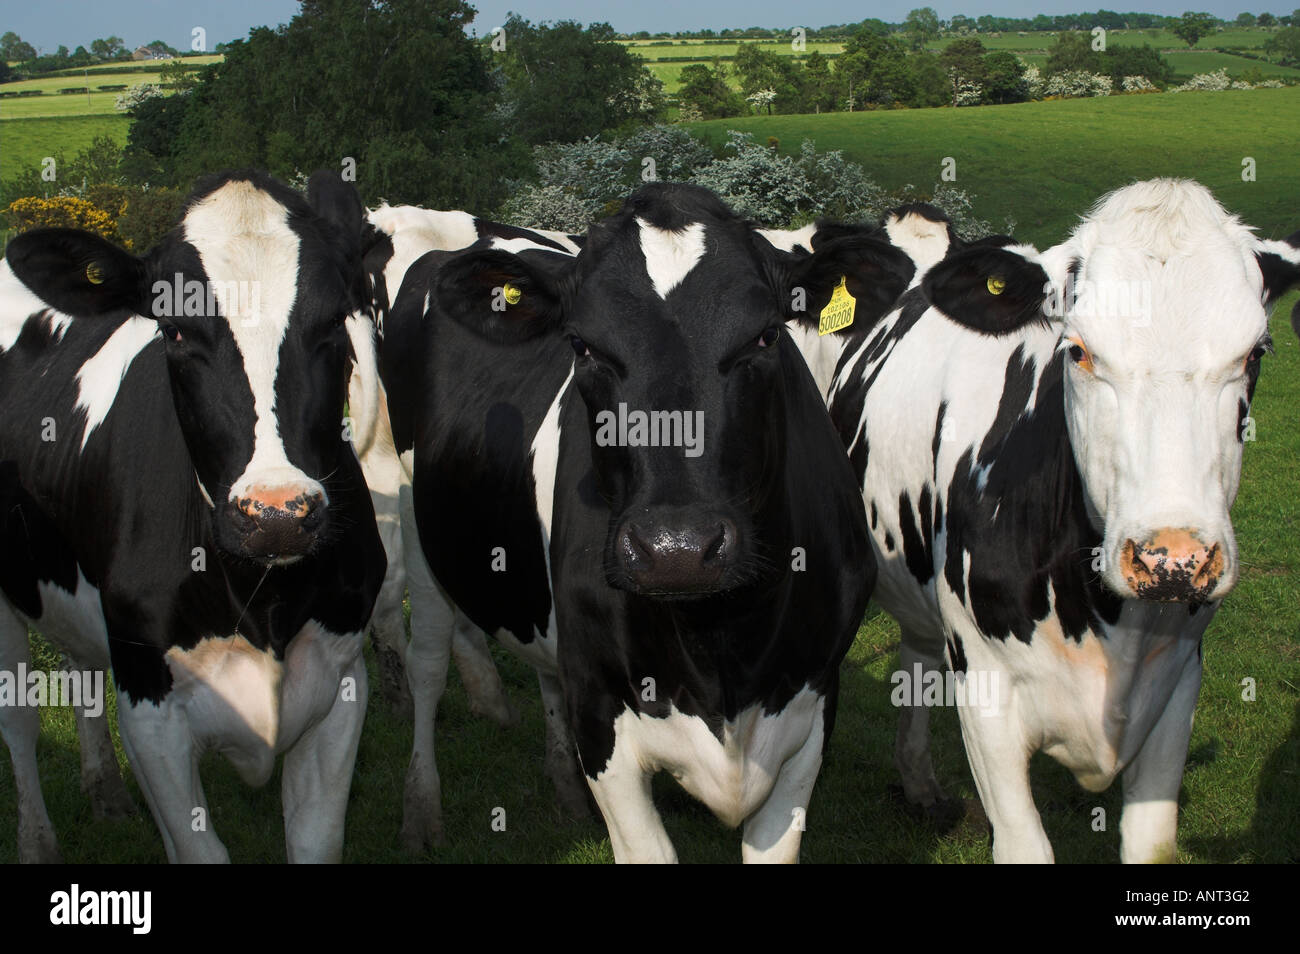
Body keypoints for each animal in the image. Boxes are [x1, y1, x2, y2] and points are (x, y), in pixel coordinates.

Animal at [0, 169, 386, 863]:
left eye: (331, 321)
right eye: (175, 330)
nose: (277, 514)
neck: (263, 601)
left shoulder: (342, 684)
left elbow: (317, 841)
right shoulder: (151, 708)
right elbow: (199, 850)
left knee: (79, 665)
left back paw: (105, 793)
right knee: (16, 717)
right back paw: (38, 842)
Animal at [381, 182, 916, 861]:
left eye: (767, 336)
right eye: (582, 346)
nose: (677, 550)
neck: (720, 649)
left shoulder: (813, 704)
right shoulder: (603, 716)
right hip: (412, 516)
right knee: (427, 661)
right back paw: (420, 813)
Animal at [802, 179, 1300, 862]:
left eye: (1255, 353)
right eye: (1080, 351)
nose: (1174, 559)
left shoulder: (1178, 684)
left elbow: (1152, 846)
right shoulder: (985, 689)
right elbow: (1023, 845)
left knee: (919, 647)